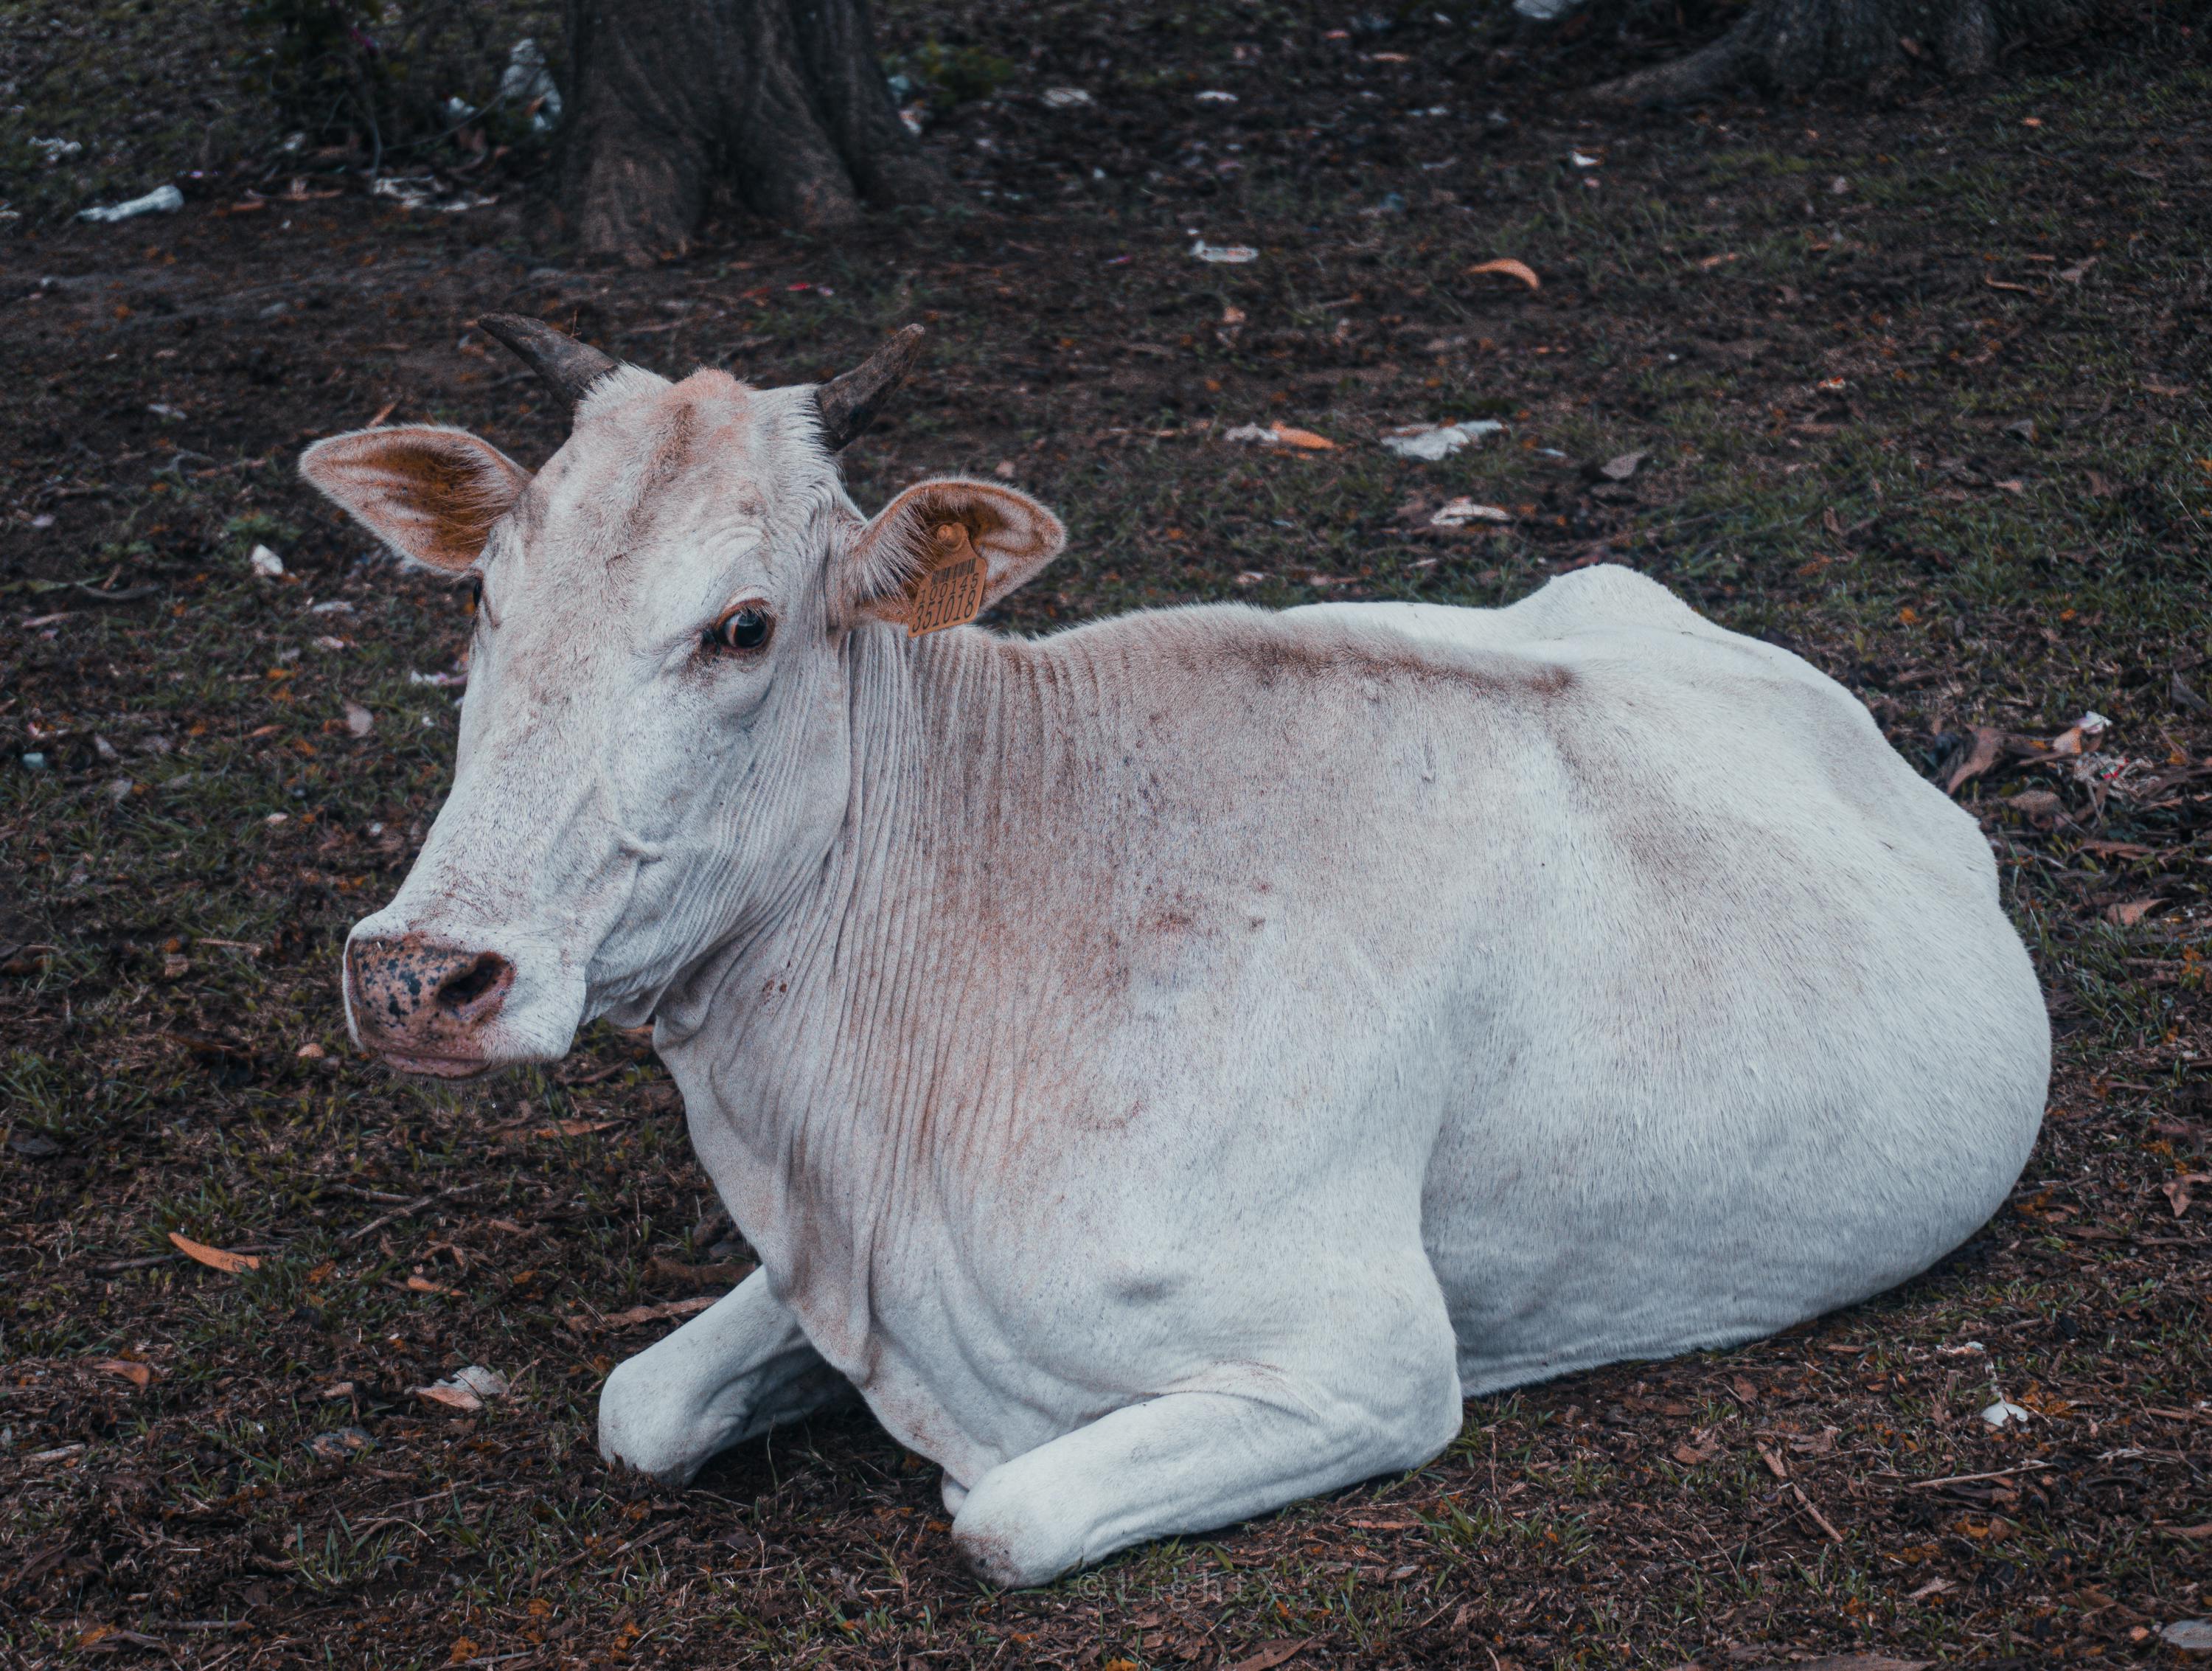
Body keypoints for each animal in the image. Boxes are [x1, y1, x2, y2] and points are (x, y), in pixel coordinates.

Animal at [302, 318, 2049, 1587]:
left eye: (743, 626)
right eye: (483, 597)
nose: (422, 973)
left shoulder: (1367, 1362)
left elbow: (1001, 1515)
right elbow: (639, 1404)